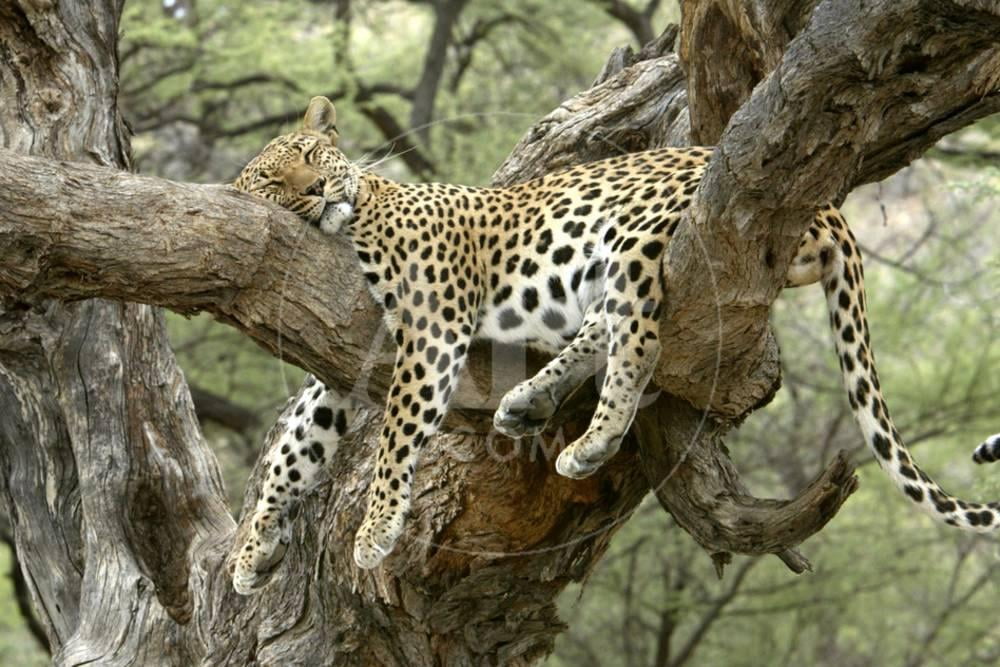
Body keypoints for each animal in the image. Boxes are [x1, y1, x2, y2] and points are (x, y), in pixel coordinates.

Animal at [233, 95, 1000, 577]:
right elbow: (291, 449)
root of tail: (830, 209)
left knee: (638, 340)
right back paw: (530, 402)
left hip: (635, 235)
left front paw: (375, 531)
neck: (355, 217)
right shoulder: (347, 361)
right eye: (273, 182)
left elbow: (395, 437)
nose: (314, 192)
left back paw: (591, 441)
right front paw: (250, 551)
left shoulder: (432, 328)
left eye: (311, 154)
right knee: (605, 326)